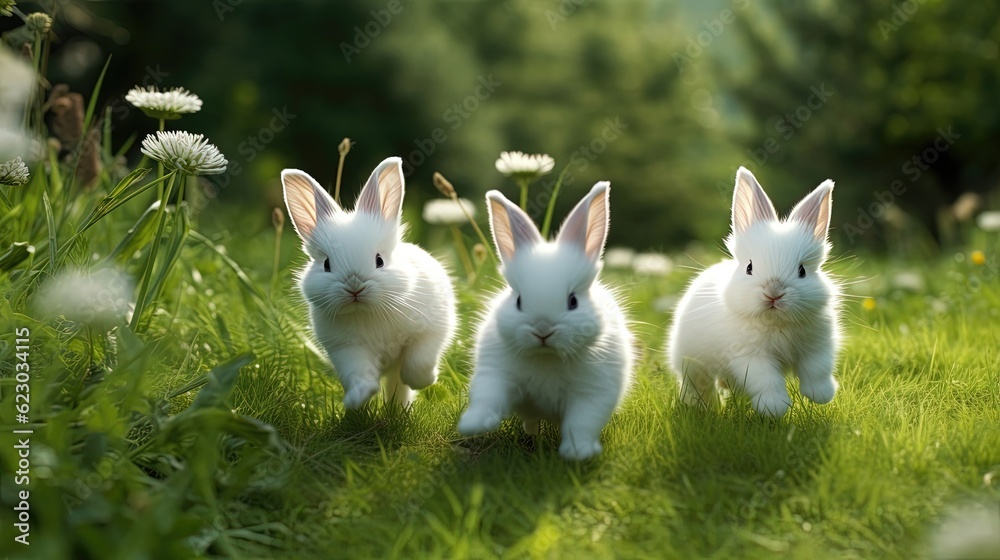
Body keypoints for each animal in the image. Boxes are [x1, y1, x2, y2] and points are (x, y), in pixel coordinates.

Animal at [281, 157, 456, 410]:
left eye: (379, 260)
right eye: (326, 264)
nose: (355, 287)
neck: (368, 311)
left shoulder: (433, 330)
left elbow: (419, 362)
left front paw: (424, 381)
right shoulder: (347, 349)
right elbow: (361, 375)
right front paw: (356, 400)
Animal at [457, 182, 634, 460]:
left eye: (573, 301)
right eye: (519, 301)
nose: (543, 330)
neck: (546, 356)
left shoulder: (592, 394)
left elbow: (581, 423)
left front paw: (578, 452)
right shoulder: (495, 374)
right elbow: (488, 397)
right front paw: (472, 425)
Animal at [667, 167, 841, 417]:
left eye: (802, 270)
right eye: (749, 267)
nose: (774, 293)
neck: (777, 322)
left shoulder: (818, 346)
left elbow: (817, 369)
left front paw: (822, 395)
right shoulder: (751, 356)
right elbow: (766, 380)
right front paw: (775, 408)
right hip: (693, 363)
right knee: (699, 386)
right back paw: (703, 408)